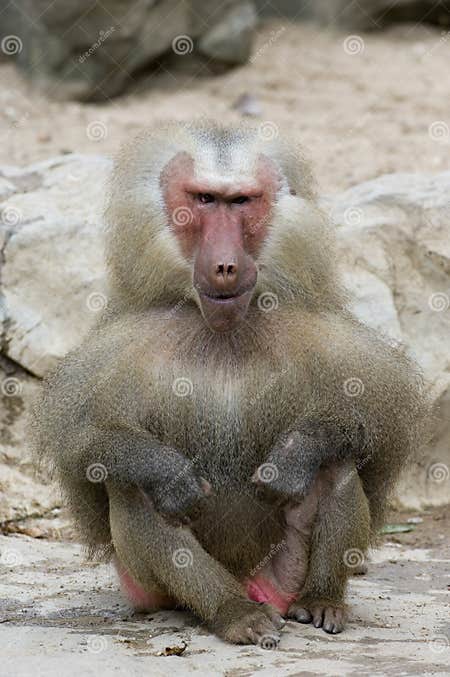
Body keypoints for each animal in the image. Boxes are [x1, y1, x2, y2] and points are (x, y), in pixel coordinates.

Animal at [32, 120, 429, 646]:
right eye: (203, 199)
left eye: (241, 201)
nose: (224, 265)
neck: (222, 333)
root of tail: (247, 581)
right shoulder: (118, 346)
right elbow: (86, 441)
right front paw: (169, 474)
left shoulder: (324, 334)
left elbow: (374, 428)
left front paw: (292, 458)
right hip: (149, 588)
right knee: (131, 489)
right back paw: (233, 613)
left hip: (279, 572)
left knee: (338, 463)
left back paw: (320, 599)